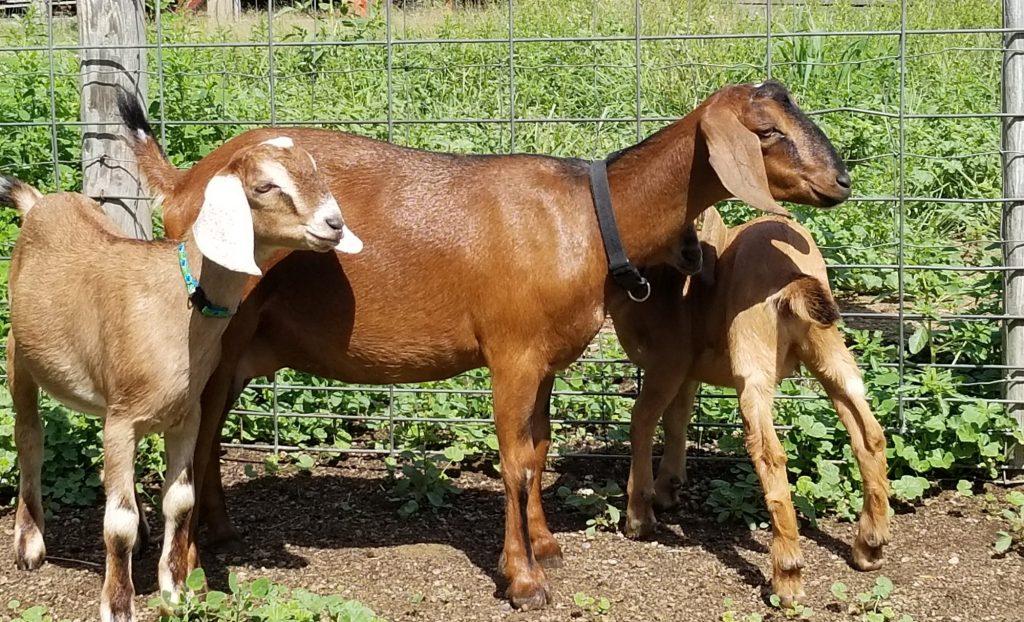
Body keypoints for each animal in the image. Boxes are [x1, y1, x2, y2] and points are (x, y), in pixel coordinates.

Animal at [2, 121, 361, 622]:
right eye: (265, 186)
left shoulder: (185, 414)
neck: (176, 300)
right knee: (29, 440)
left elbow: (181, 501)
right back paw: (30, 544)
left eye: (315, 172)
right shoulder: (123, 419)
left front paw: (176, 591)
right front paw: (118, 605)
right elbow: (117, 522)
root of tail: (40, 202)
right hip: (19, 354)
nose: (334, 224)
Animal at [122, 80, 851, 610]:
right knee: (195, 430)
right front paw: (524, 581)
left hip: (242, 344)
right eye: (766, 131)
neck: (588, 218)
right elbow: (514, 462)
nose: (842, 180)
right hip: (215, 330)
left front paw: (546, 545)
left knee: (209, 431)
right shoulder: (513, 353)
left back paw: (219, 532)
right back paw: (189, 562)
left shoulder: (546, 359)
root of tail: (181, 185)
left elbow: (539, 447)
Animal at [610, 207, 890, 606]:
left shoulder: (669, 361)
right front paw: (668, 488)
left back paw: (787, 575)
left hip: (752, 358)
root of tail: (791, 277)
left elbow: (643, 419)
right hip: (828, 348)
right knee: (869, 434)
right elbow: (678, 418)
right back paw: (870, 545)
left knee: (769, 453)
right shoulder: (688, 370)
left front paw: (639, 515)